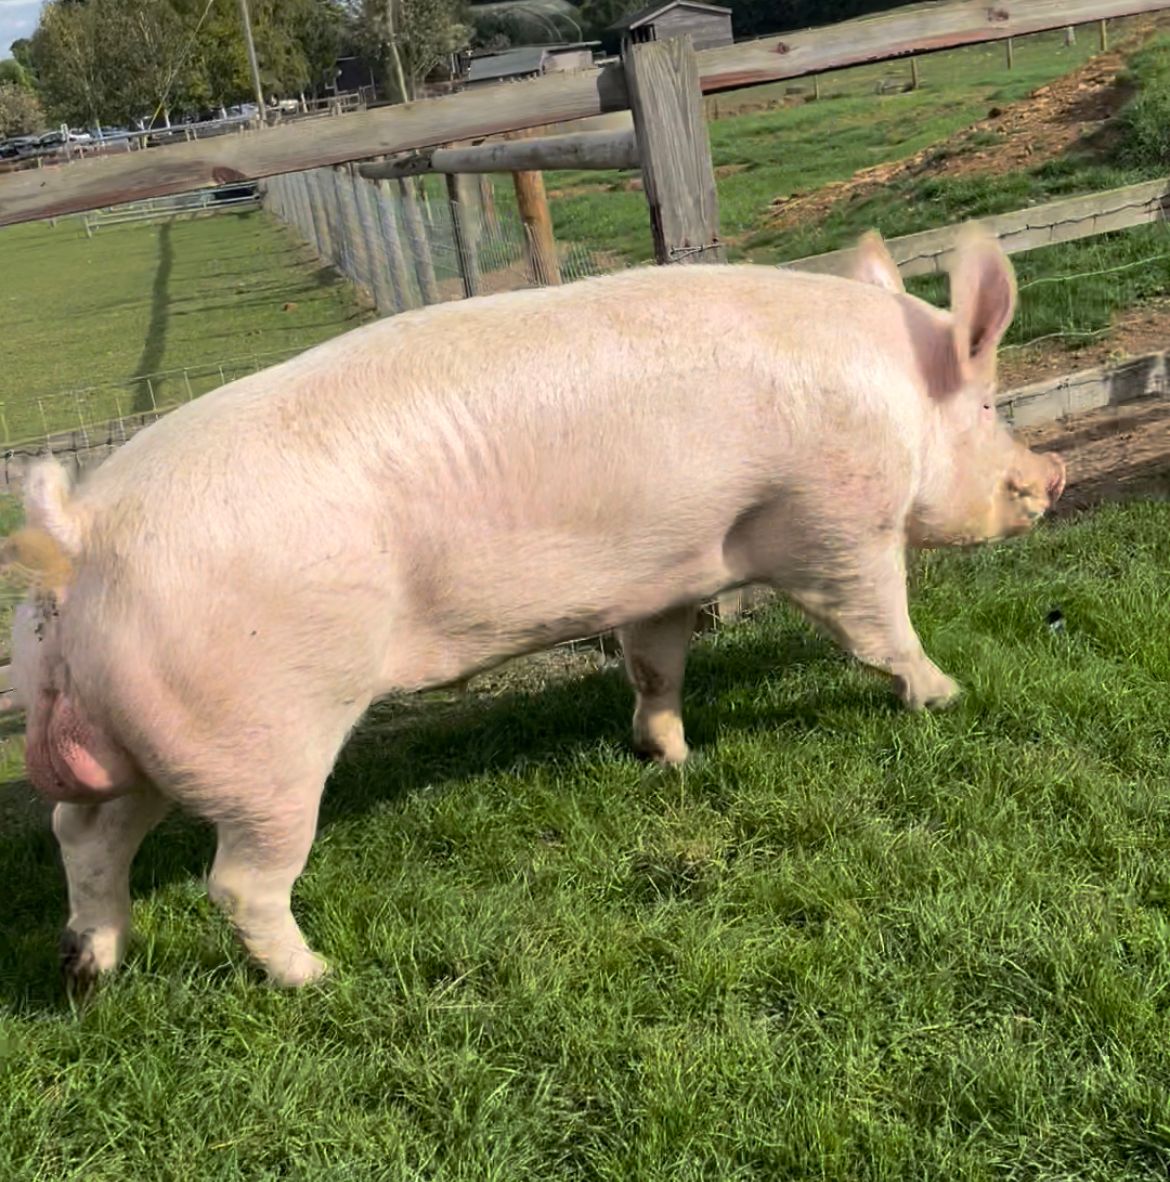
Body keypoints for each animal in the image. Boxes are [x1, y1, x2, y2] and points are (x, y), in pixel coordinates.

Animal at [4, 225, 1064, 989]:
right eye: (983, 408)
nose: (1052, 475)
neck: (898, 402)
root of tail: (80, 534)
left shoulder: (665, 571)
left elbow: (654, 663)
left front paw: (668, 756)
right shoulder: (834, 522)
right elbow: (875, 625)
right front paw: (946, 694)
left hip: (134, 737)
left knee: (81, 837)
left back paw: (91, 970)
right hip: (258, 740)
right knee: (235, 881)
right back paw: (317, 975)